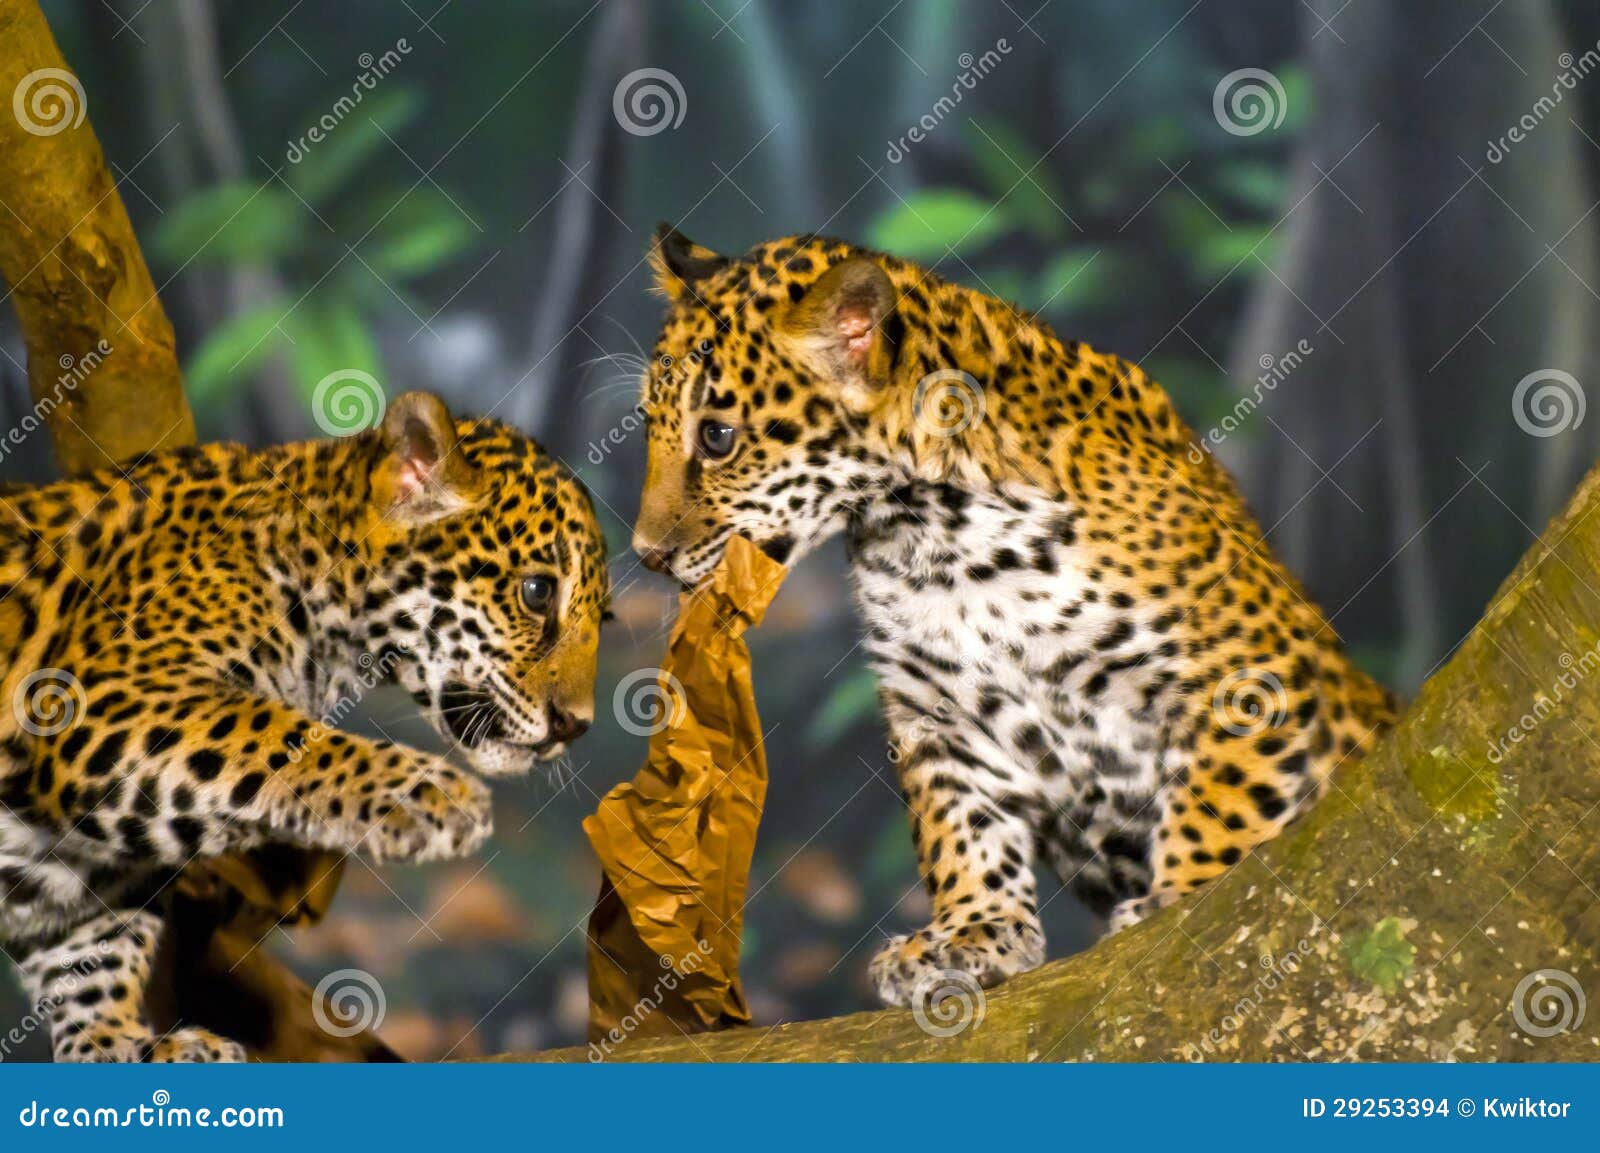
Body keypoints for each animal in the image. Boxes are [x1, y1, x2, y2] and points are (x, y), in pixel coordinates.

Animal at [0, 390, 608, 1061]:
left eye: (602, 617)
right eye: (537, 592)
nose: (576, 725)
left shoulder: (83, 876)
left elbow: (92, 960)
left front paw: (122, 1048)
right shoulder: (104, 690)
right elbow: (270, 736)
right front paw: (426, 796)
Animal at [631, 228, 1397, 1009]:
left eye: (717, 437)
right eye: (648, 428)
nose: (646, 555)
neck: (936, 539)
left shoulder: (1246, 665)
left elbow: (1226, 798)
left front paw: (1182, 893)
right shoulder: (937, 713)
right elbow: (960, 826)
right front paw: (971, 932)